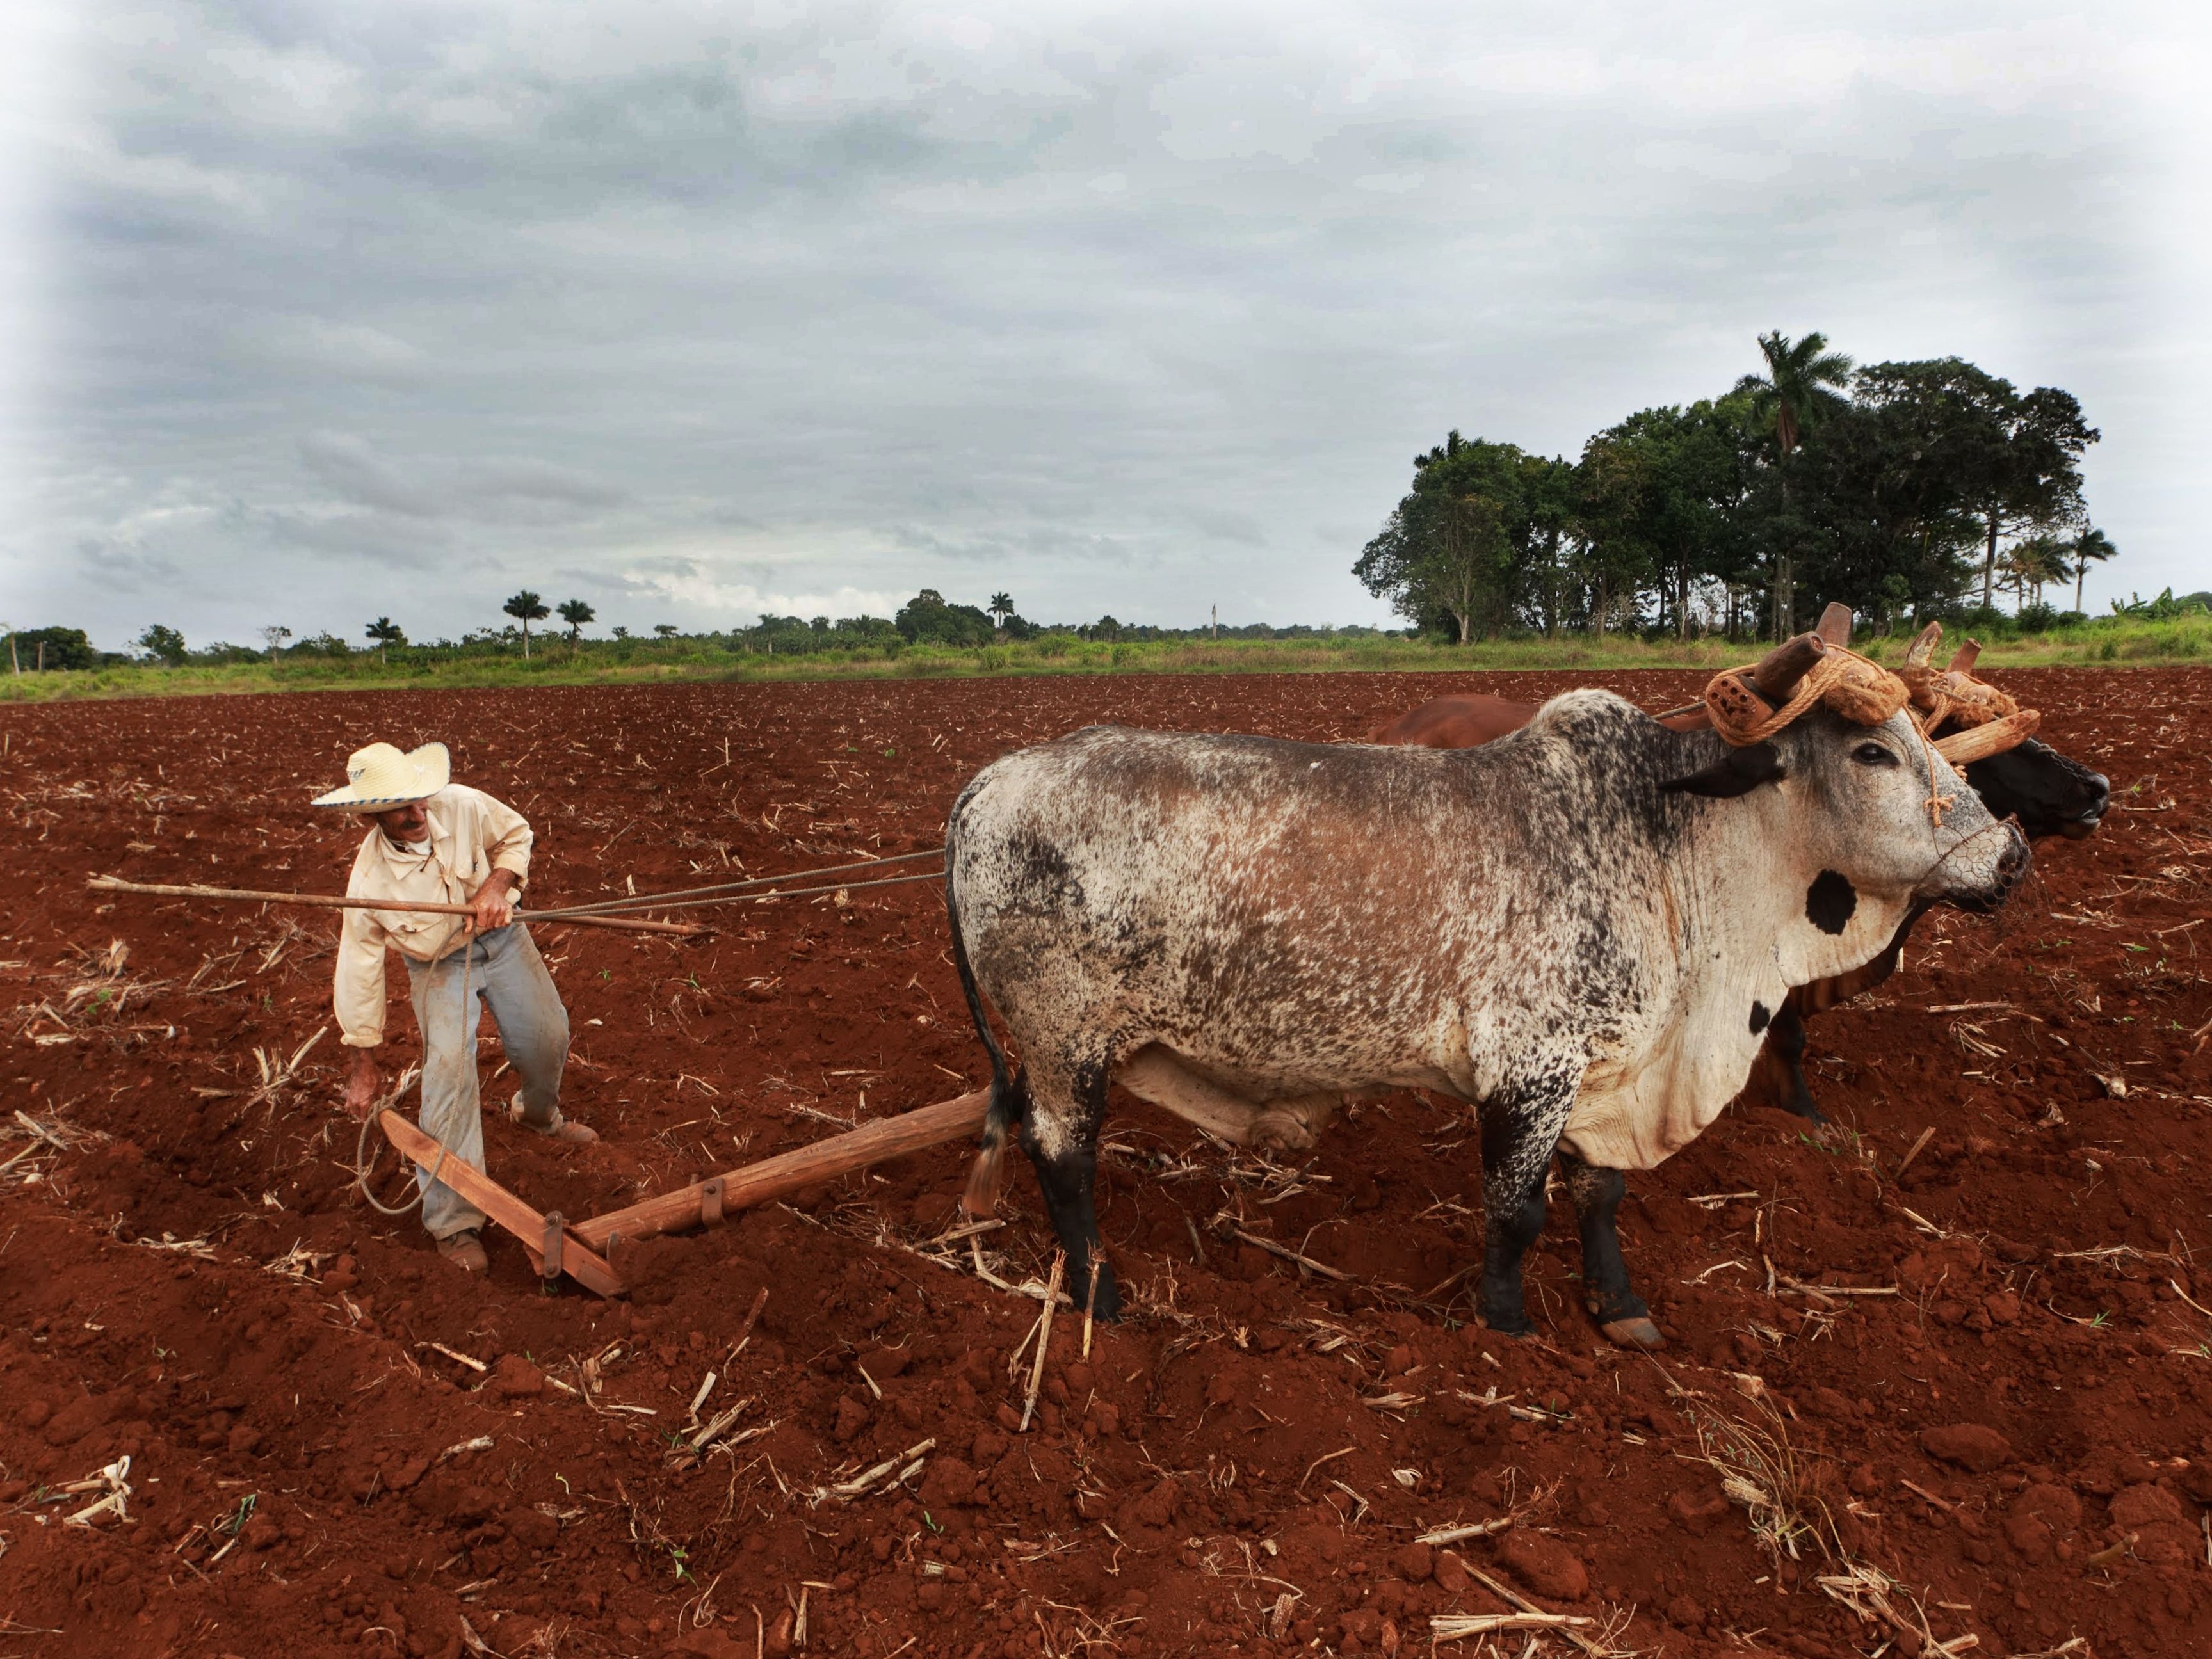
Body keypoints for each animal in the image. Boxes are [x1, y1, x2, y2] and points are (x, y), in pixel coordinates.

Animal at [945, 631, 2030, 1349]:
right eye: (1870, 750)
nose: (2011, 854)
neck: (1669, 842)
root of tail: (986, 782)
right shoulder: (1530, 1068)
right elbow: (1516, 1211)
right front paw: (1504, 1327)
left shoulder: (1607, 1071)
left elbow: (1598, 1196)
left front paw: (1618, 1307)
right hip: (1062, 1041)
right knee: (1062, 1161)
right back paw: (1097, 1295)